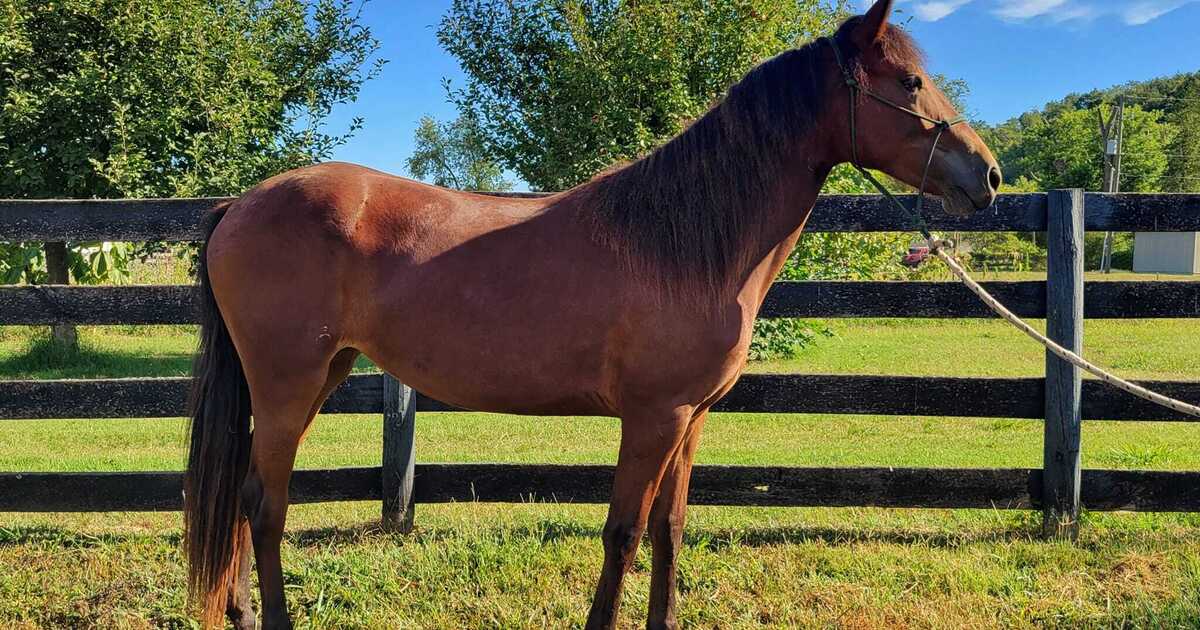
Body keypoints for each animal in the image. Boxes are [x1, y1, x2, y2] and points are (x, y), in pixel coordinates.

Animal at [184, 1, 1001, 628]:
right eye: (911, 82)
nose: (988, 175)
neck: (686, 243)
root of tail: (239, 206)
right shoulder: (653, 417)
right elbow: (625, 533)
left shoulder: (692, 418)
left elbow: (670, 530)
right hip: (287, 383)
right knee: (264, 504)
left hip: (318, 376)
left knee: (247, 499)